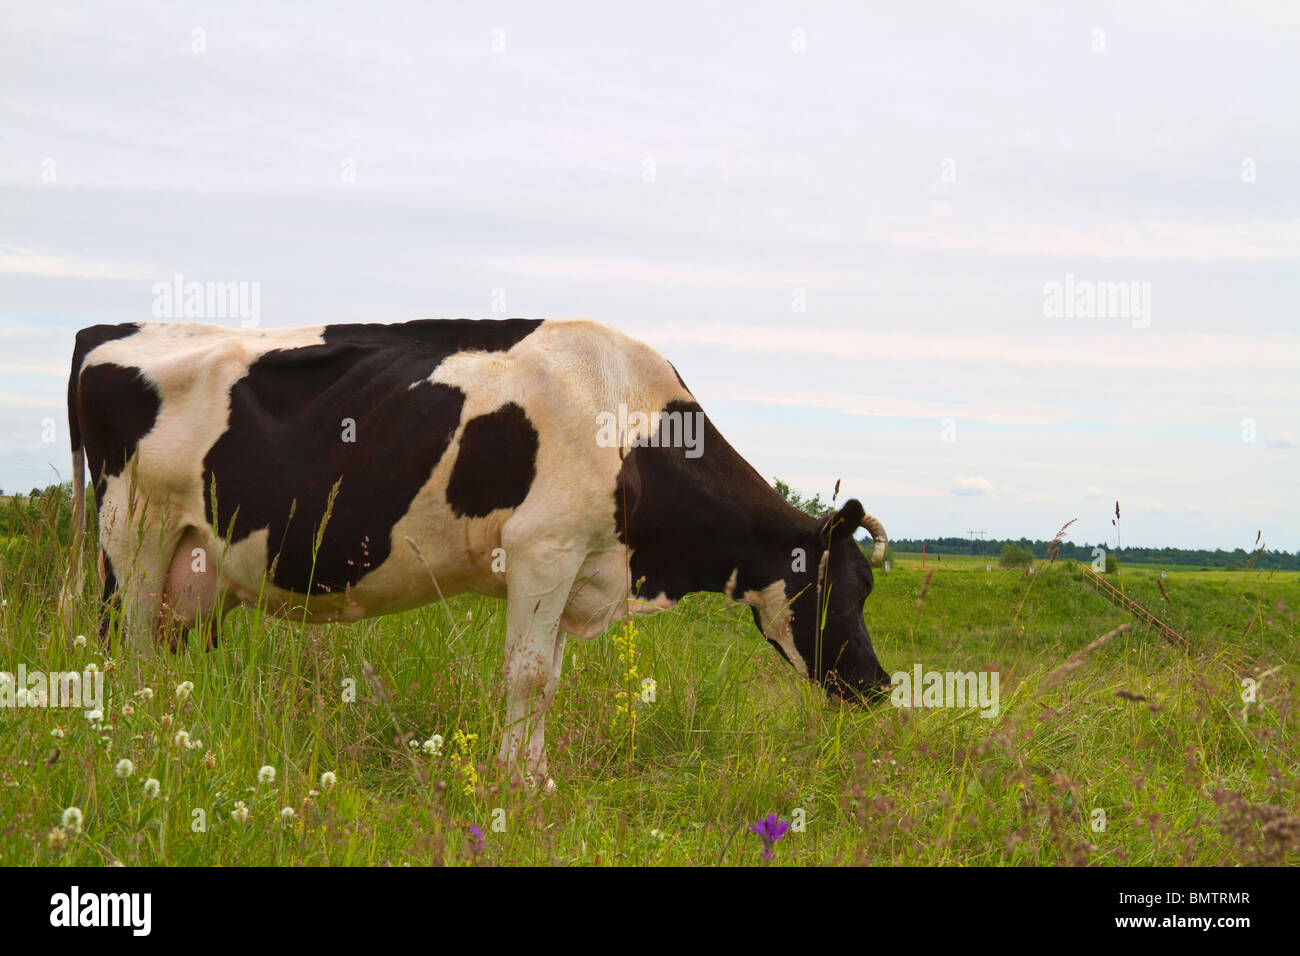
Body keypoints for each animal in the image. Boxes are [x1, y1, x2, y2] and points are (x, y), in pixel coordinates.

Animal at [63, 318, 890, 780]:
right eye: (836, 589)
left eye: (866, 588)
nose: (879, 686)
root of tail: (108, 331)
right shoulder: (543, 550)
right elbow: (527, 679)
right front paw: (513, 790)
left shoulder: (573, 567)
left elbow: (548, 680)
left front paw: (537, 781)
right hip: (133, 538)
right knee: (128, 652)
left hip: (191, 569)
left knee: (164, 661)